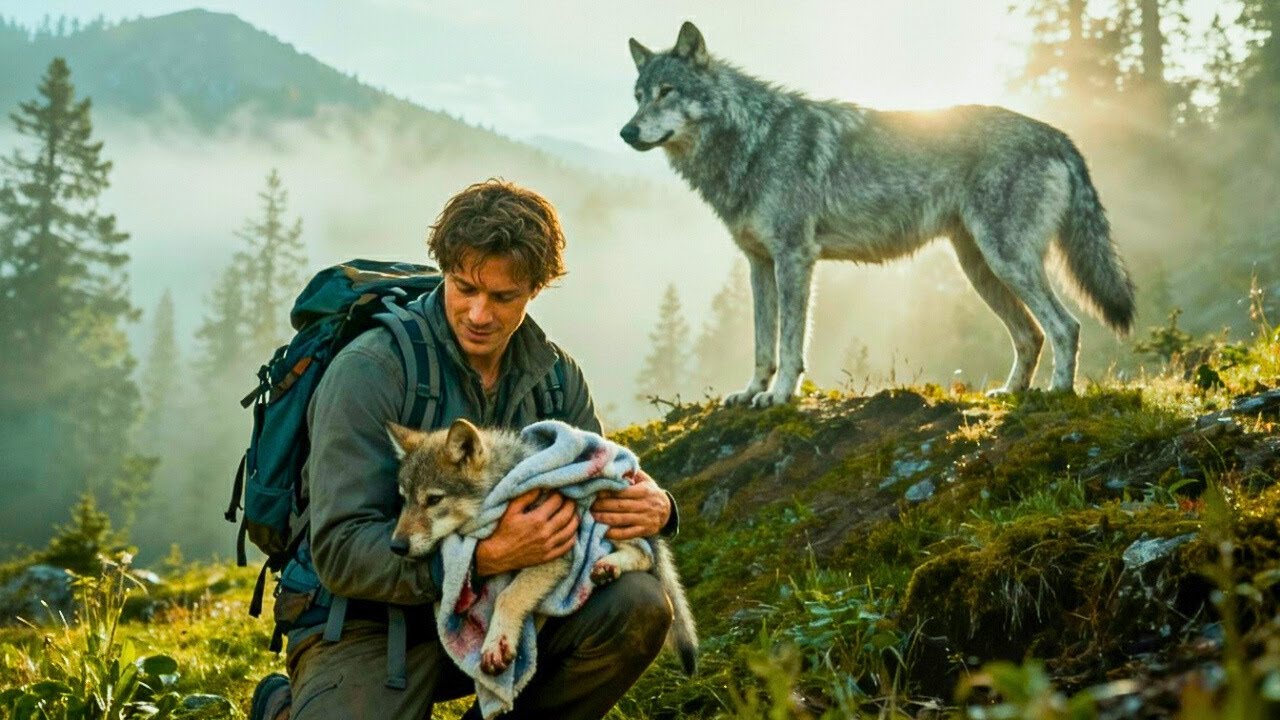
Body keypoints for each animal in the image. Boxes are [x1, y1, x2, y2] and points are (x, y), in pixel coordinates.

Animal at [386, 418, 698, 677]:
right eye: (404, 499)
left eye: (433, 500)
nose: (396, 546)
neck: (502, 485)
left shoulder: (559, 552)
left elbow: (507, 596)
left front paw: (497, 641)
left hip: (606, 509)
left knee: (646, 554)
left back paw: (610, 565)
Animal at [621, 22, 1136, 406]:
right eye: (639, 96)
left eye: (667, 91)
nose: (626, 132)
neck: (752, 140)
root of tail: (1058, 135)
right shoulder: (758, 264)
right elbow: (761, 344)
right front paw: (750, 393)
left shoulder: (794, 258)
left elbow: (789, 343)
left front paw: (780, 396)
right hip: (981, 269)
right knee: (1030, 334)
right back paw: (1010, 394)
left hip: (1007, 262)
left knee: (1064, 326)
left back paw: (1057, 394)